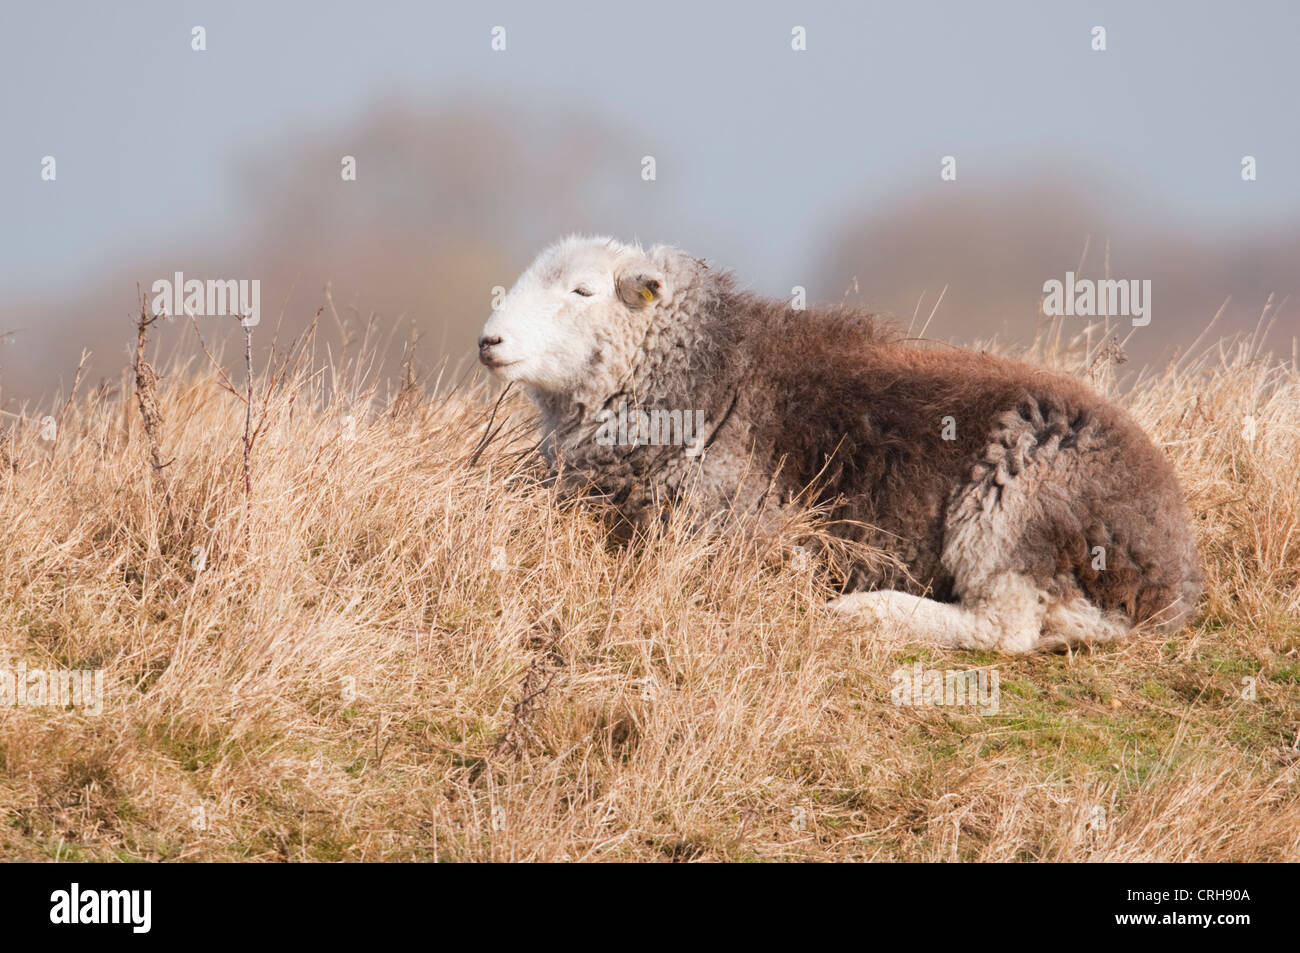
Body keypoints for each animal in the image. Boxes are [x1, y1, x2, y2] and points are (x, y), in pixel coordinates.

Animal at [478, 235, 1202, 652]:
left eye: (582, 291)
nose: (489, 341)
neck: (707, 372)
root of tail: (1170, 578)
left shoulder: (738, 529)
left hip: (1016, 496)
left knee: (1005, 628)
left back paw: (862, 611)